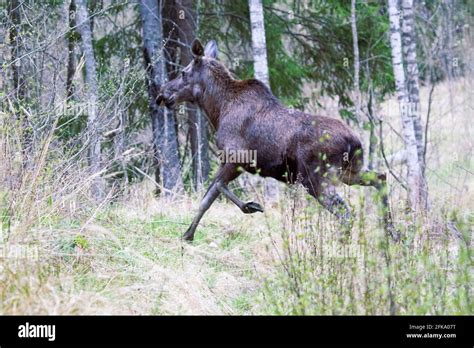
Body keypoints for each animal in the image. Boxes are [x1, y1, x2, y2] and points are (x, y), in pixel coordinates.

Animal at [157, 38, 398, 242]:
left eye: (183, 72)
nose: (162, 93)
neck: (217, 111)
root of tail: (354, 141)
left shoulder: (237, 158)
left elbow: (215, 188)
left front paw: (251, 206)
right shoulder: (234, 163)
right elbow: (208, 197)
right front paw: (187, 235)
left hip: (316, 178)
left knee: (346, 212)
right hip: (348, 172)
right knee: (380, 177)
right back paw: (393, 235)